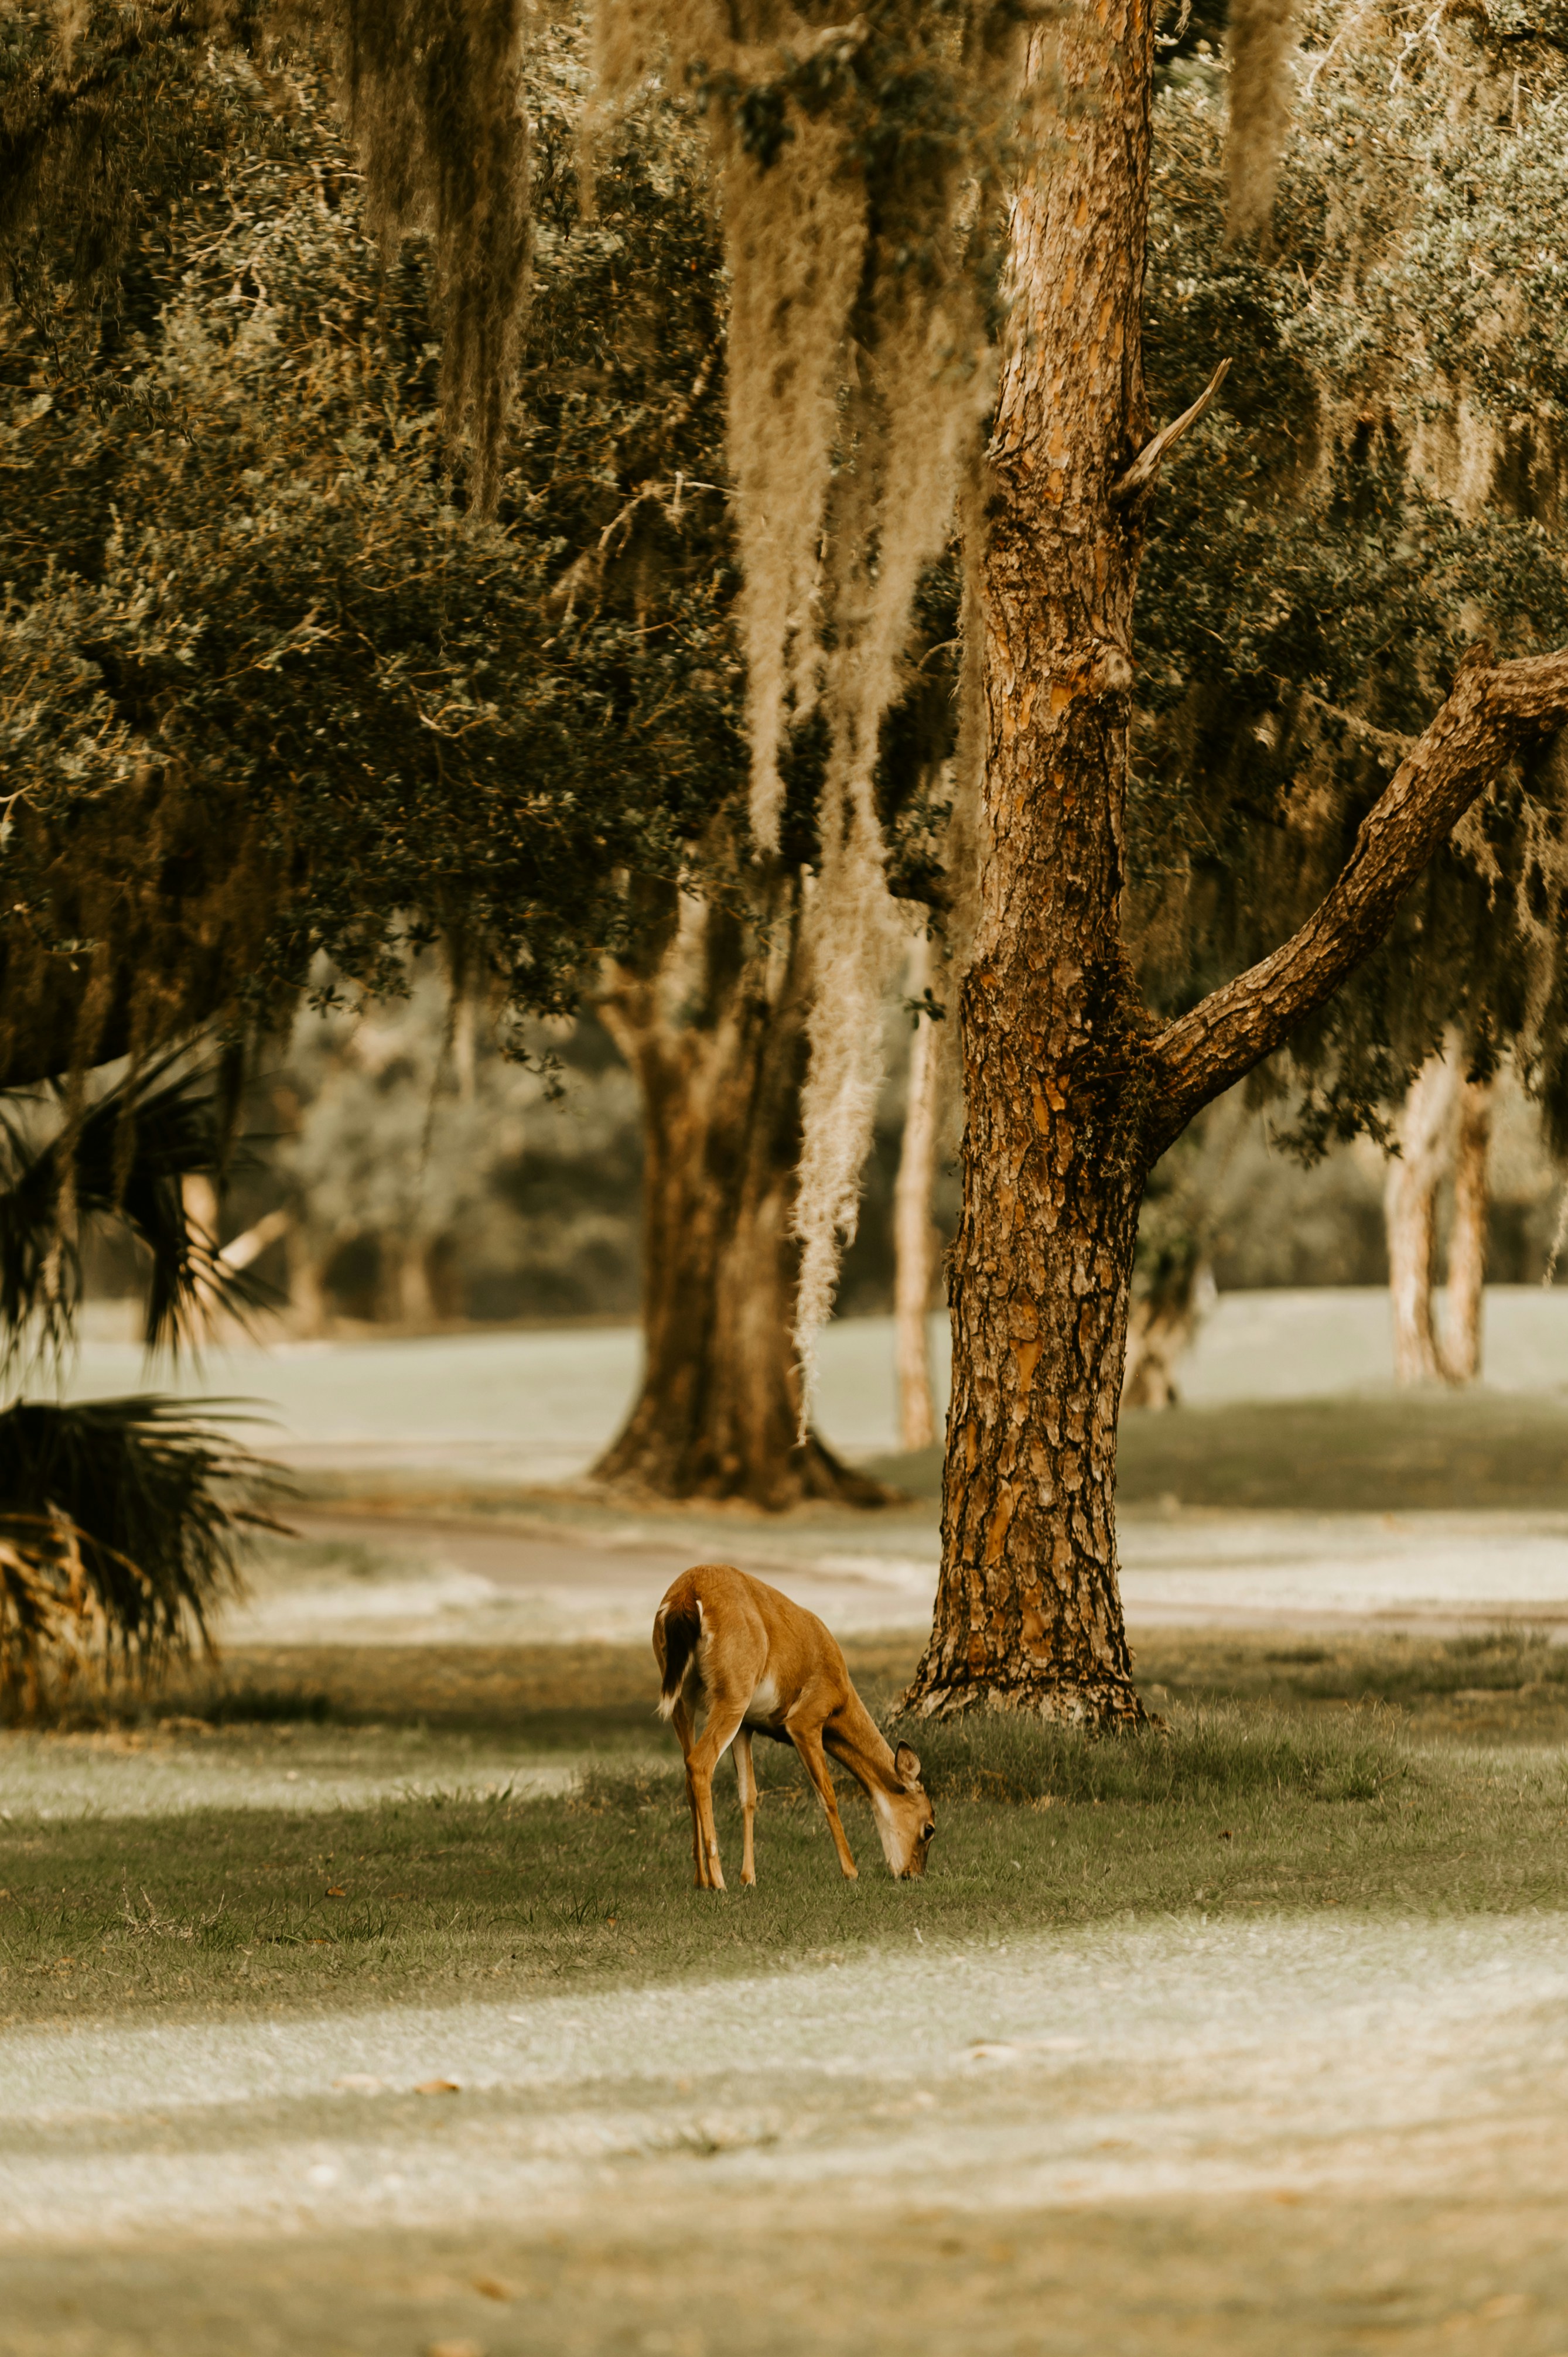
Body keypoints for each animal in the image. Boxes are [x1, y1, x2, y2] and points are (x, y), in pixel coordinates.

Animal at [652, 1562, 935, 1891]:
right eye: (929, 1828)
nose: (912, 1874)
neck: (841, 1698)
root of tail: (686, 1595)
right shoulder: (806, 1719)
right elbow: (827, 1794)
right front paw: (851, 1871)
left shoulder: (748, 1725)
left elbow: (749, 1795)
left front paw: (749, 1877)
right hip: (732, 1694)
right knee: (700, 1763)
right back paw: (718, 1881)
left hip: (682, 1699)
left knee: (687, 1770)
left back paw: (701, 1879)